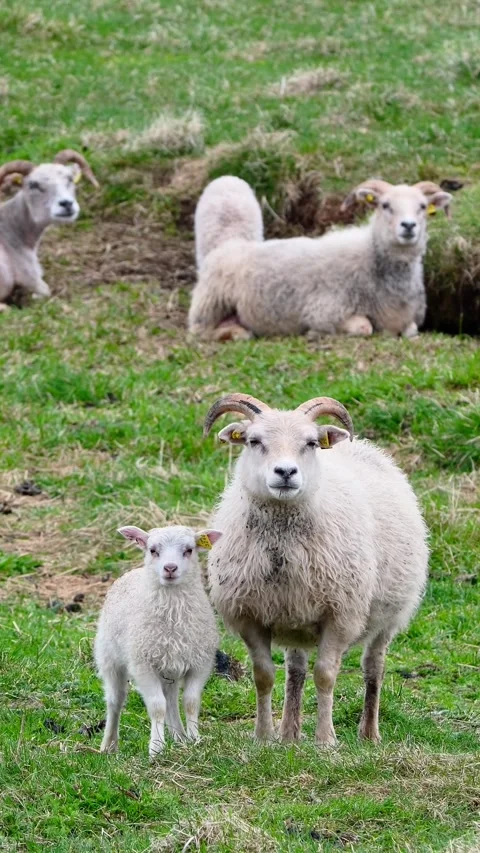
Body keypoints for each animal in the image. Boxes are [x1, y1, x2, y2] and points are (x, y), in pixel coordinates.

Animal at [95, 524, 221, 757]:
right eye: (153, 550)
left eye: (189, 550)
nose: (170, 568)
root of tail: (133, 572)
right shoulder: (143, 665)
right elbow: (157, 706)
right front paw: (156, 748)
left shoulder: (200, 663)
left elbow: (190, 702)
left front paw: (195, 740)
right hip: (110, 659)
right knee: (115, 701)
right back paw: (108, 744)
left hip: (168, 665)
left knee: (171, 699)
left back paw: (180, 737)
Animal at [188, 178, 452, 341]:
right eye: (385, 205)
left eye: (422, 206)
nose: (408, 226)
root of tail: (227, 245)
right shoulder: (324, 311)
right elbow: (363, 327)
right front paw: (313, 334)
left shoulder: (407, 321)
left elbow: (411, 330)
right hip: (210, 304)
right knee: (198, 330)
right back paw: (235, 333)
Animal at [203, 392, 428, 745]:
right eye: (254, 441)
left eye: (310, 443)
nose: (285, 472)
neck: (281, 545)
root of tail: (361, 446)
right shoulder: (251, 617)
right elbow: (263, 676)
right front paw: (263, 737)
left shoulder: (340, 615)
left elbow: (325, 676)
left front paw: (326, 740)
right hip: (295, 616)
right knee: (295, 671)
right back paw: (289, 734)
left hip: (388, 617)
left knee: (373, 668)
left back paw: (368, 734)